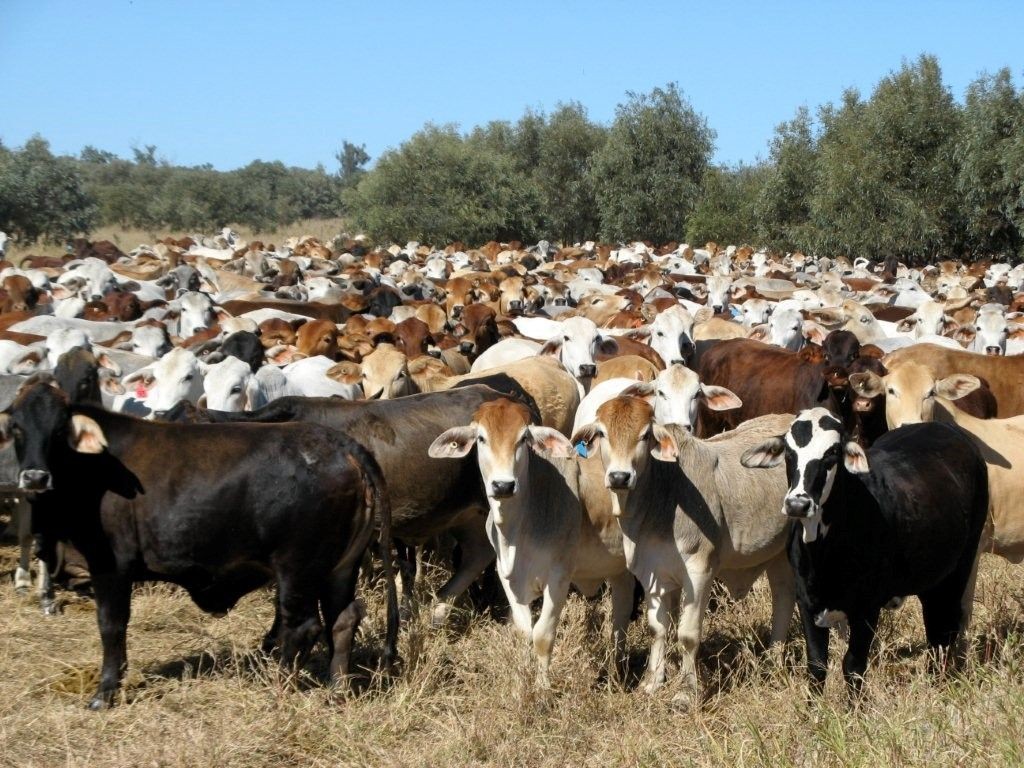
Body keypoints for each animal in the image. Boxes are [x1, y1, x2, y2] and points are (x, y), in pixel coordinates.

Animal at [2, 381, 397, 709]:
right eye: (17, 427)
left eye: (59, 430)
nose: (35, 476)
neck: (95, 468)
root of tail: (340, 443)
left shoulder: (110, 565)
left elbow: (111, 625)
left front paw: (105, 692)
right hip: (340, 568)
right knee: (342, 620)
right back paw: (337, 689)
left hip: (297, 569)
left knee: (303, 627)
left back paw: (280, 686)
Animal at [571, 397, 796, 703]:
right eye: (602, 433)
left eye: (645, 435)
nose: (619, 477)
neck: (663, 494)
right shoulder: (652, 572)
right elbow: (658, 629)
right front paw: (652, 682)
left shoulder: (699, 571)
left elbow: (688, 634)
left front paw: (687, 692)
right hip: (778, 555)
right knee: (783, 598)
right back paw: (773, 663)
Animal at [741, 408, 988, 695]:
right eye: (789, 453)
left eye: (832, 453)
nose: (797, 504)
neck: (824, 555)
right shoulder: (806, 600)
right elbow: (817, 664)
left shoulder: (867, 607)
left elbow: (853, 665)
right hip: (932, 578)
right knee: (935, 629)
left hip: (960, 568)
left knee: (945, 629)